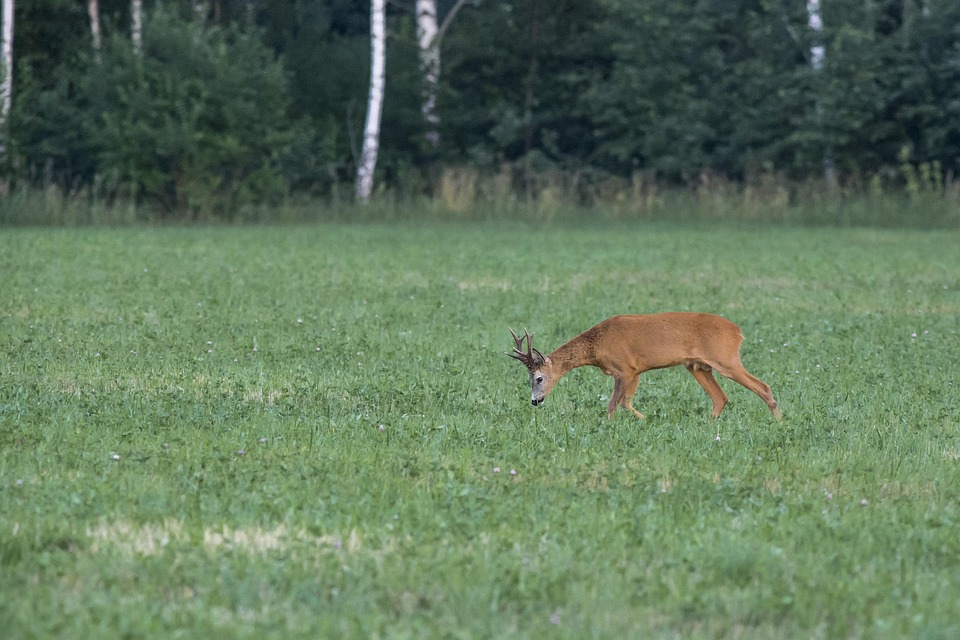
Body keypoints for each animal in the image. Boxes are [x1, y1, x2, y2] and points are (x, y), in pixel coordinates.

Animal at [509, 313, 781, 420]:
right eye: (528, 379)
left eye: (539, 377)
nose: (535, 401)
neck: (597, 345)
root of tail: (737, 332)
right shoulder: (636, 371)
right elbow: (627, 402)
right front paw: (646, 420)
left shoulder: (623, 368)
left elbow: (613, 404)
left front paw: (607, 426)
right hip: (697, 366)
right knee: (720, 398)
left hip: (725, 358)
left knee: (763, 386)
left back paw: (778, 422)